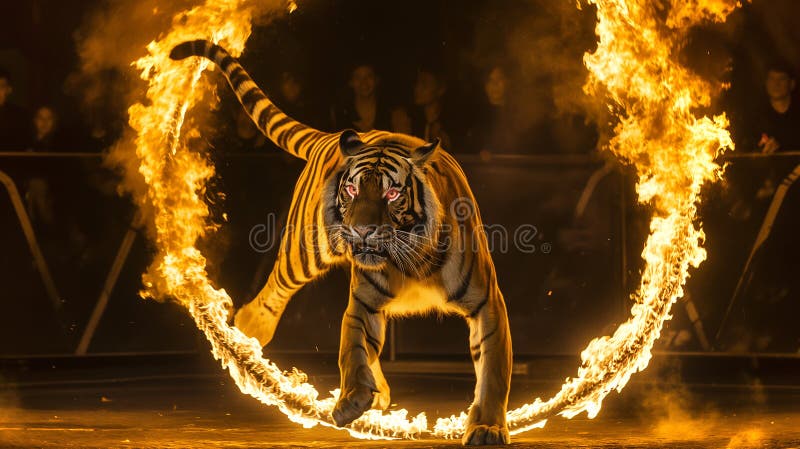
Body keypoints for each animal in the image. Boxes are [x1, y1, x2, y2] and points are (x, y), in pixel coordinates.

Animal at [170, 40, 513, 445]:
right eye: (352, 189)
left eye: (392, 193)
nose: (361, 230)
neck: (412, 258)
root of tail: (331, 136)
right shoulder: (363, 301)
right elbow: (351, 349)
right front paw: (351, 400)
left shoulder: (486, 303)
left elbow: (493, 372)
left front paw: (487, 427)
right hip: (305, 249)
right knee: (274, 291)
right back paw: (250, 332)